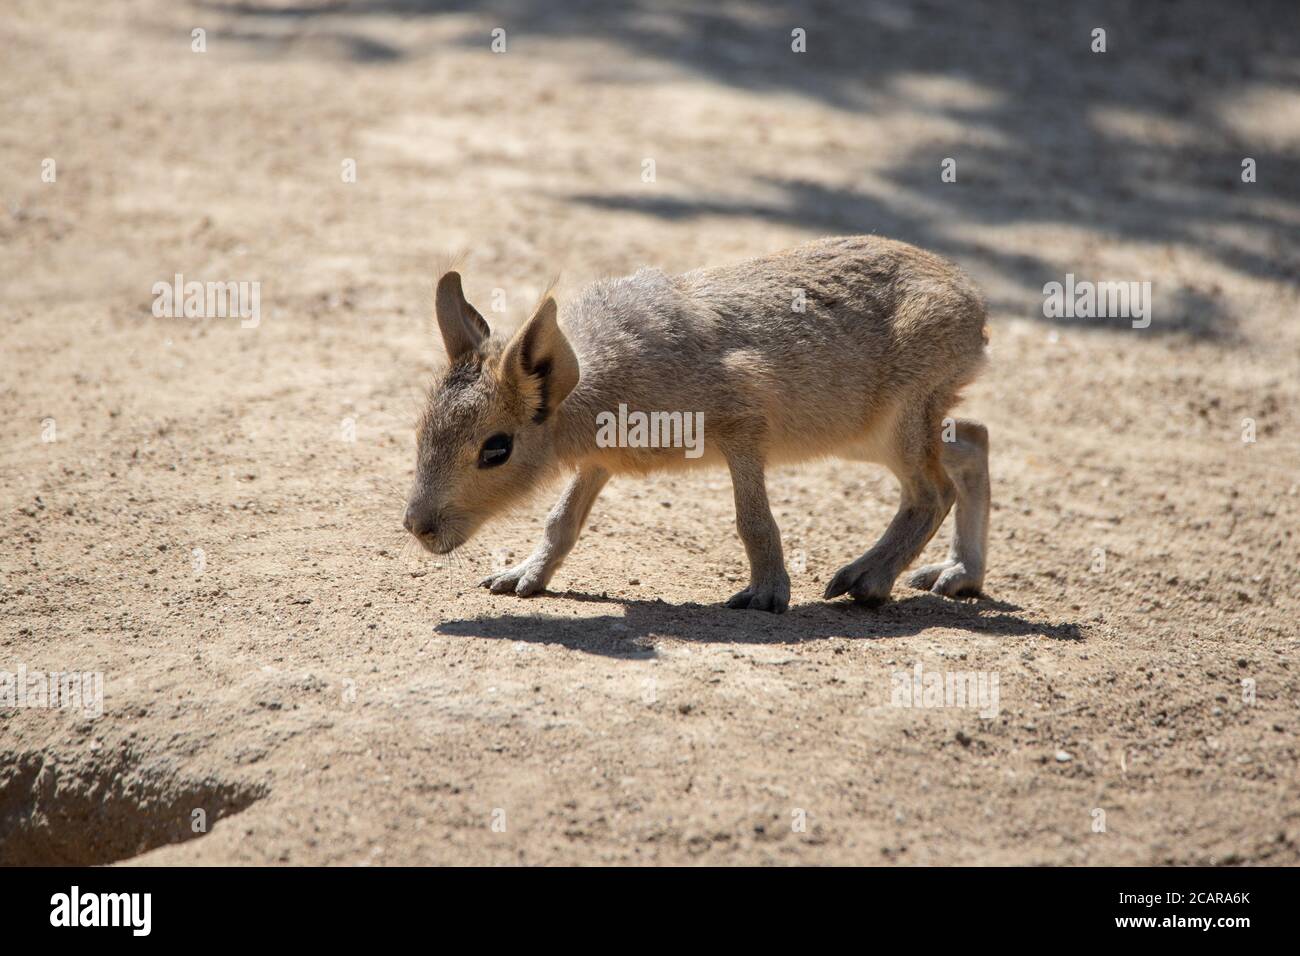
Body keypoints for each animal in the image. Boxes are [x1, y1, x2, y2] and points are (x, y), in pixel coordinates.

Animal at [404, 235, 991, 614]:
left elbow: (754, 521)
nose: (417, 527)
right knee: (972, 440)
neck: (600, 383)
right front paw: (523, 576)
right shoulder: (599, 461)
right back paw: (958, 576)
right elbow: (561, 520)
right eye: (419, 432)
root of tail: (976, 304)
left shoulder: (744, 428)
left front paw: (767, 596)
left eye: (496, 449)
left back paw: (866, 579)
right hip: (868, 433)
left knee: (932, 491)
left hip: (894, 425)